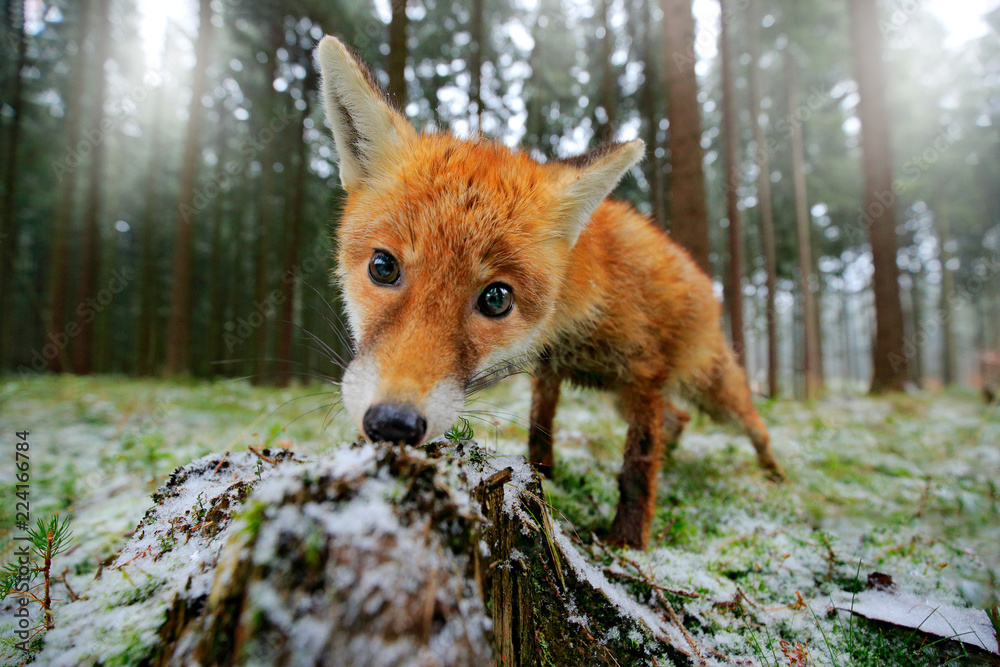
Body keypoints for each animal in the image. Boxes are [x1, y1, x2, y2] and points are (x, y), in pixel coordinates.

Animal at [315, 35, 784, 549]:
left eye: (496, 298)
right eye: (383, 267)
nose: (392, 423)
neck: (572, 322)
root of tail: (702, 276)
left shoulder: (645, 372)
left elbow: (638, 464)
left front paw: (629, 540)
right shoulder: (552, 370)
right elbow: (541, 427)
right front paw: (543, 473)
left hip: (710, 387)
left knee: (752, 423)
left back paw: (775, 474)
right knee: (678, 418)